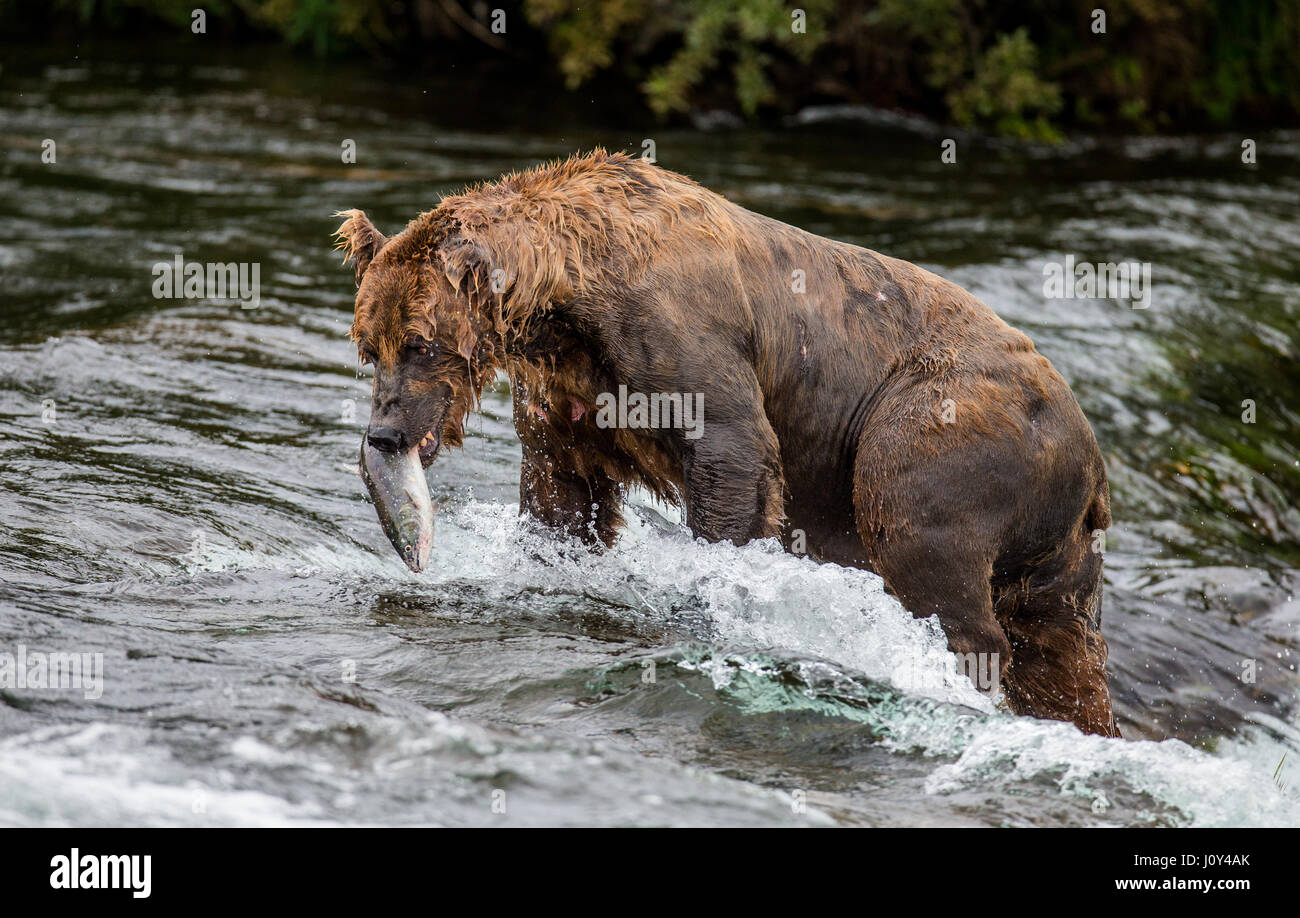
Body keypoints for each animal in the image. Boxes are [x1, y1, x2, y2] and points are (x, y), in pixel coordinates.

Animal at [335, 149, 1119, 737]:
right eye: (369, 347)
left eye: (420, 343)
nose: (385, 431)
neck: (566, 303)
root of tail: (1088, 453)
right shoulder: (566, 397)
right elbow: (563, 498)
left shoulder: (678, 338)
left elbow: (732, 457)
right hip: (1059, 550)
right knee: (1063, 655)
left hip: (941, 431)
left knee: (925, 548)